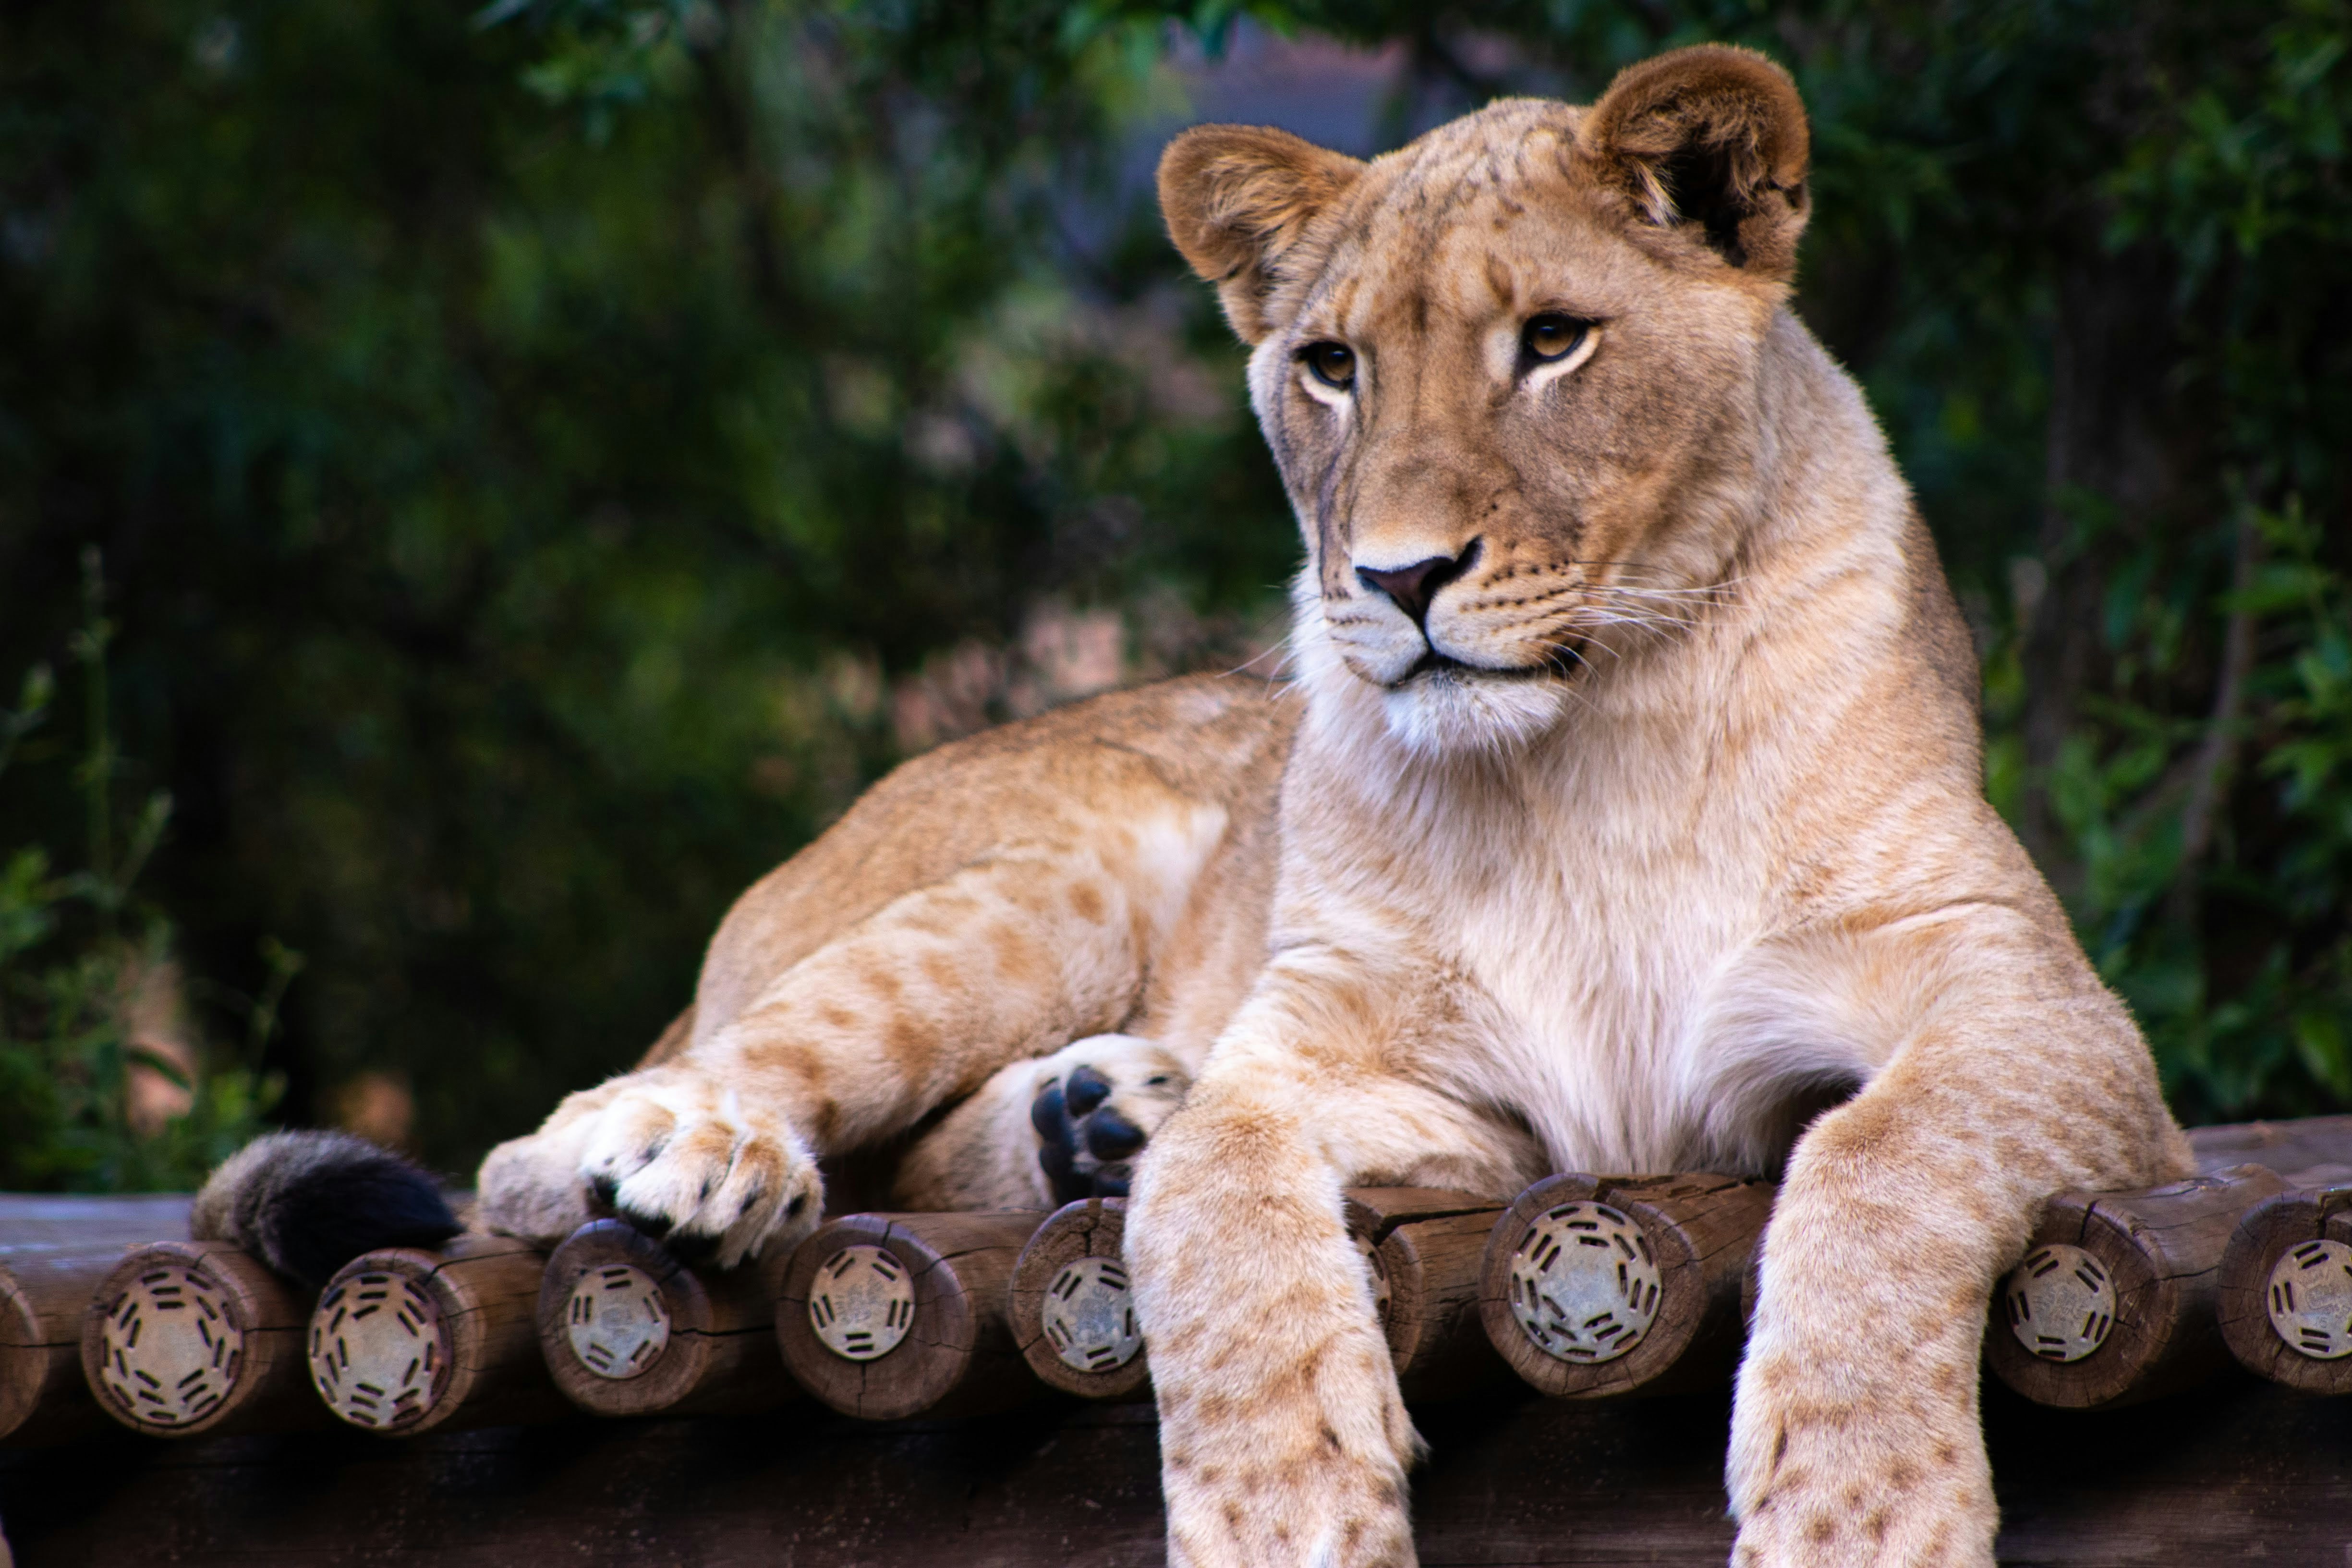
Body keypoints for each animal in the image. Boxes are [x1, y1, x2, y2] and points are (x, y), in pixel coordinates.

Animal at [202, 44, 2189, 1567]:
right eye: (1331, 364)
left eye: (1553, 341)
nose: (1397, 578)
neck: (1589, 740)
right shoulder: (1301, 1032)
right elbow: (1221, 1210)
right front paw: (1284, 1507)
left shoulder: (2039, 1016)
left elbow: (1870, 1158)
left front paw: (1861, 1507)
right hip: (1052, 869)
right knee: (587, 1135)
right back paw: (719, 1147)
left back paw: (1095, 1111)